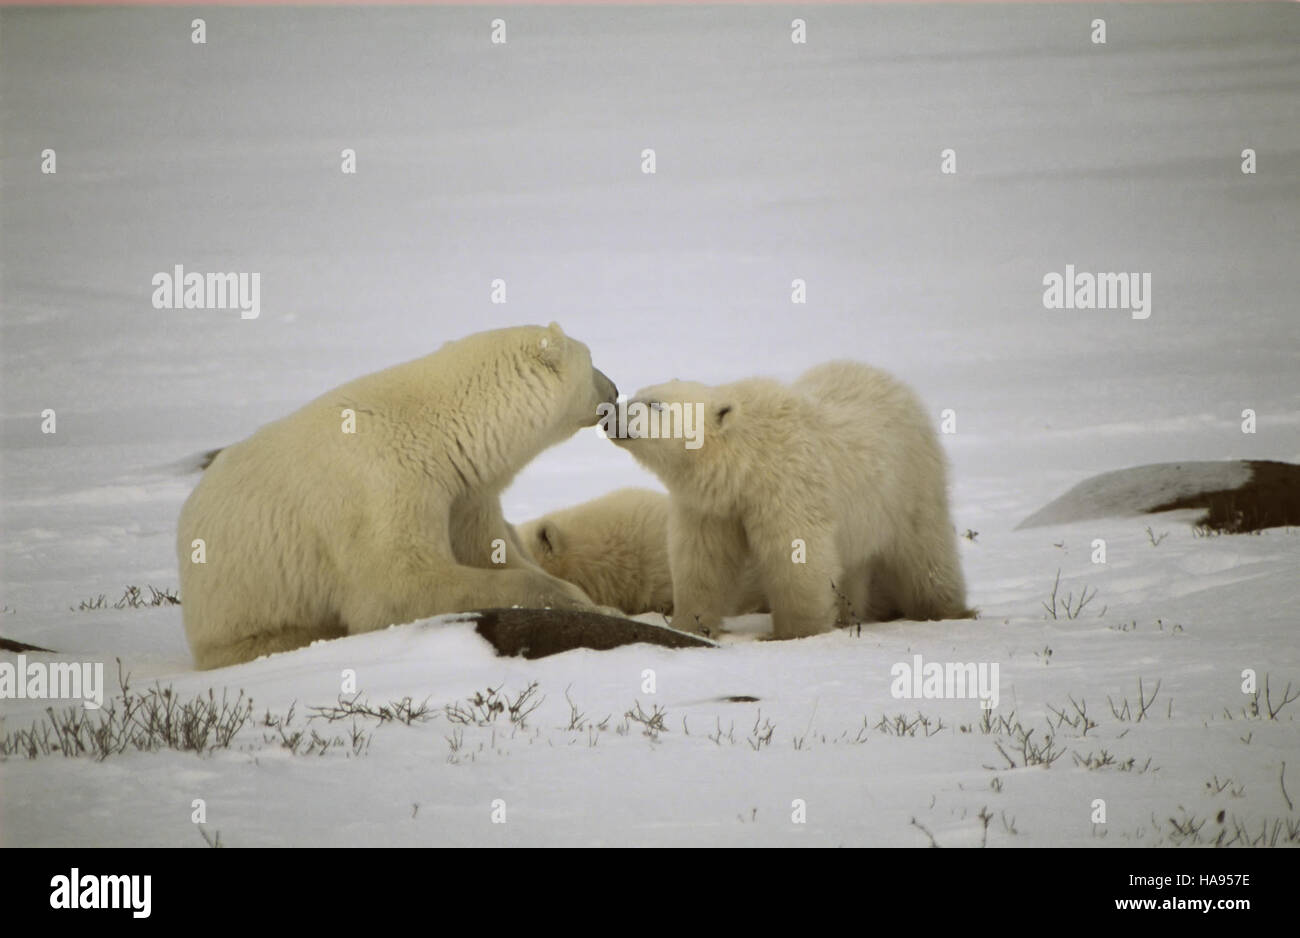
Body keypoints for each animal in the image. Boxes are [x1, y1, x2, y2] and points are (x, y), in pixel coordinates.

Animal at [177, 323, 618, 669]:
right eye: (591, 358)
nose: (614, 388)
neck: (438, 426)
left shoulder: (463, 495)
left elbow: (489, 549)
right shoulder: (384, 487)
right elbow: (399, 588)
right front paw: (576, 600)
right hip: (246, 622)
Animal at [607, 360, 971, 640]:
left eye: (655, 405)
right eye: (638, 394)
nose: (611, 412)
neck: (746, 461)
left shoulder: (788, 481)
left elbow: (796, 553)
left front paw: (793, 633)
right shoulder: (712, 505)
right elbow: (702, 560)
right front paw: (689, 625)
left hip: (909, 481)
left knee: (925, 551)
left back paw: (947, 610)